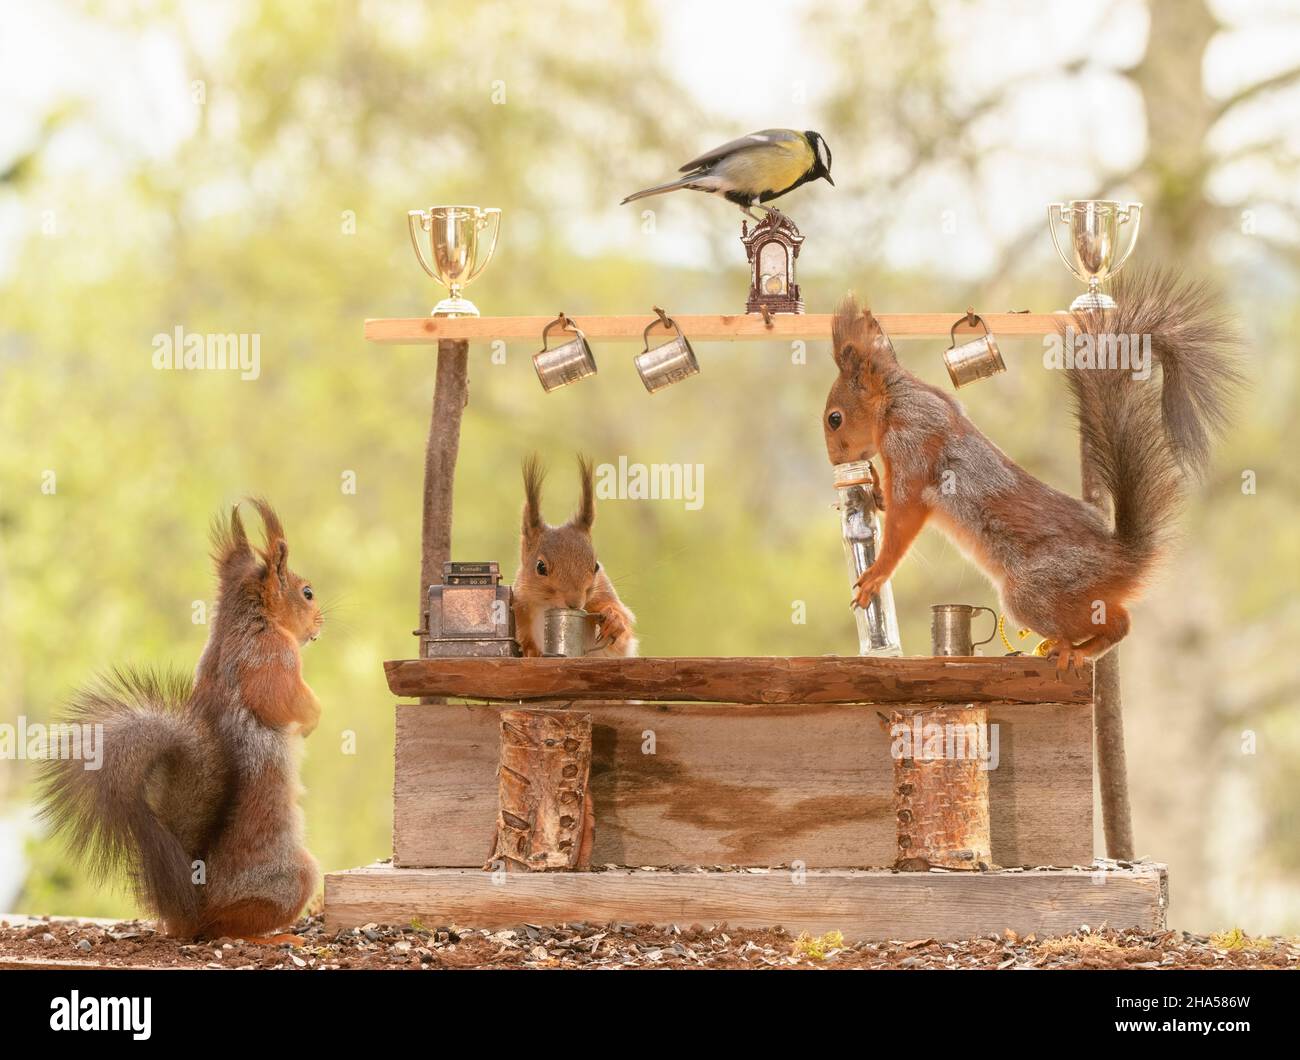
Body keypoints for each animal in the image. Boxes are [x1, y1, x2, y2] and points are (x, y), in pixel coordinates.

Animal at [39, 499, 324, 940]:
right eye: (307, 592)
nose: (320, 624)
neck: (240, 621)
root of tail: (193, 912)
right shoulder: (269, 655)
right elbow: (280, 699)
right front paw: (313, 718)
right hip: (292, 879)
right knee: (229, 928)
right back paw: (273, 937)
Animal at [511, 454, 638, 658]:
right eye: (540, 567)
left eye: (596, 566)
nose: (575, 603)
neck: (547, 606)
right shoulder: (520, 608)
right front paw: (530, 651)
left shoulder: (603, 593)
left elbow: (621, 636)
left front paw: (614, 620)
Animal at [822, 267, 1242, 671]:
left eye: (834, 419)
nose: (835, 462)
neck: (897, 401)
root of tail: (1122, 559)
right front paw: (871, 484)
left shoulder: (913, 442)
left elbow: (903, 520)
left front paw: (876, 574)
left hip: (1033, 593)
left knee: (1118, 622)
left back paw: (1073, 651)